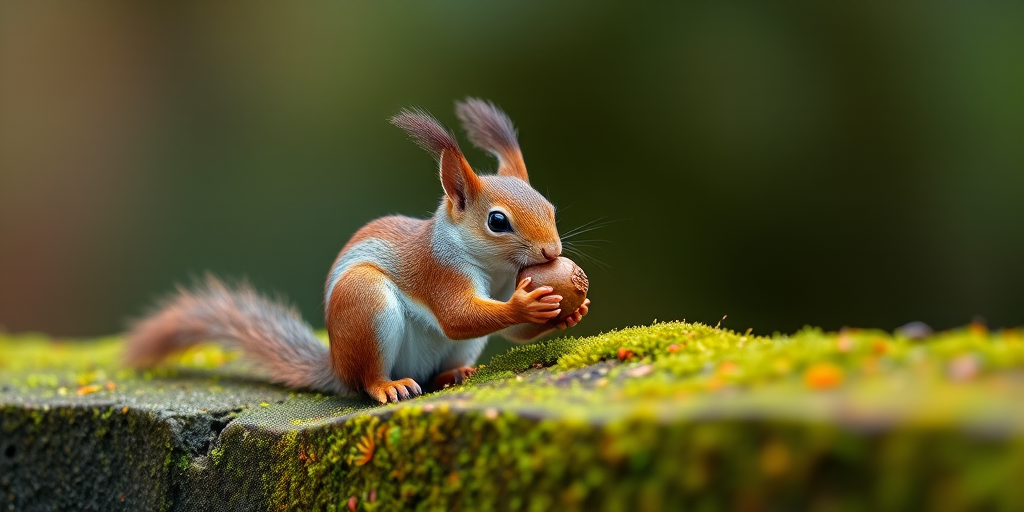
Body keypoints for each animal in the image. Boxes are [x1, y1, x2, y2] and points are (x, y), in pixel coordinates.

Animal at [124, 98, 590, 403]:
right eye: (497, 222)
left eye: (550, 208)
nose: (551, 250)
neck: (493, 270)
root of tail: (336, 366)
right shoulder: (438, 271)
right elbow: (458, 316)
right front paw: (526, 304)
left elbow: (508, 332)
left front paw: (572, 311)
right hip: (366, 303)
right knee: (368, 380)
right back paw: (389, 385)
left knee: (439, 370)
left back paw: (453, 373)